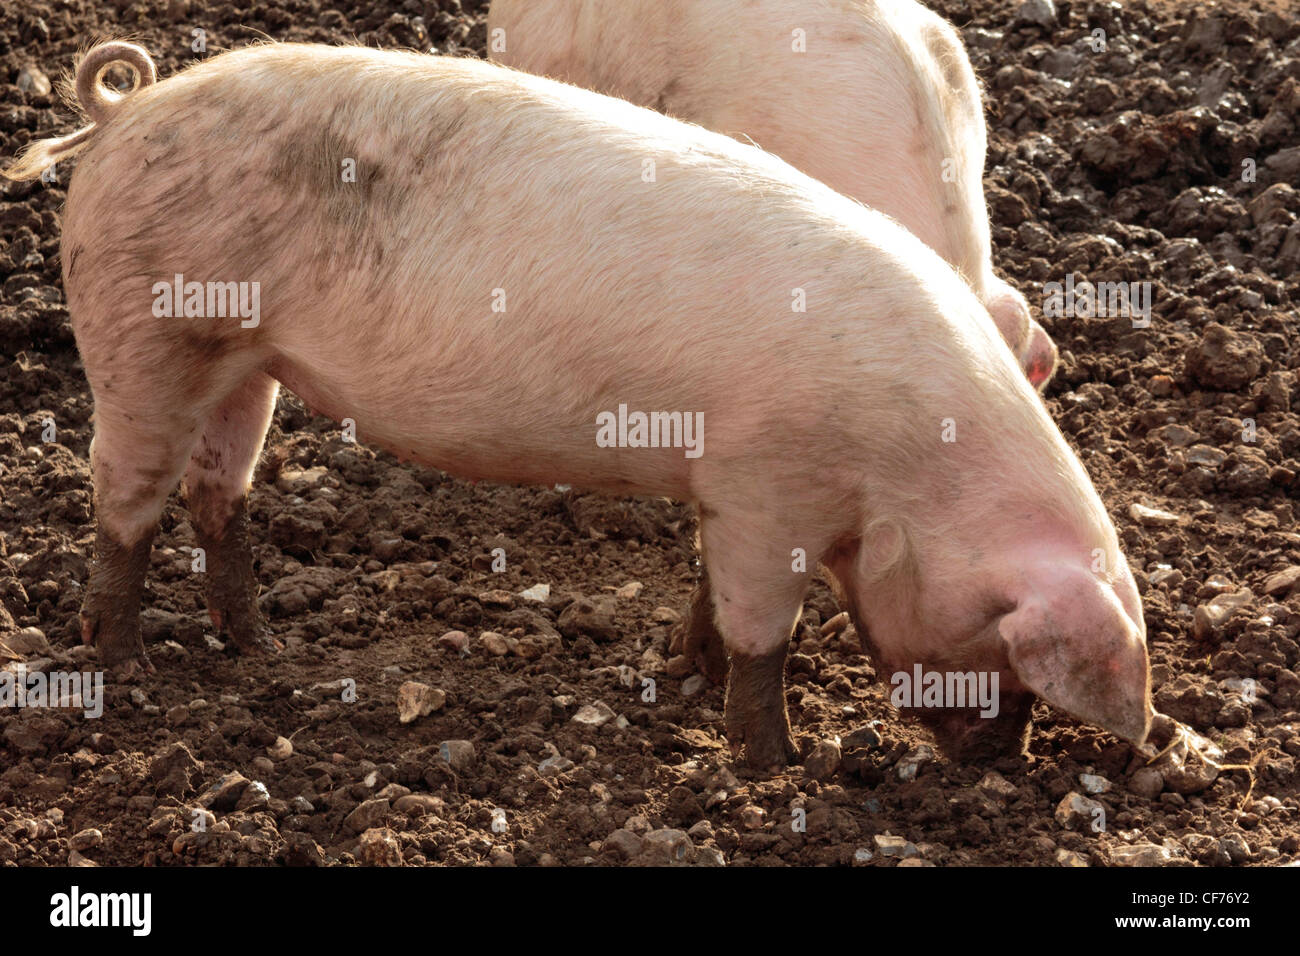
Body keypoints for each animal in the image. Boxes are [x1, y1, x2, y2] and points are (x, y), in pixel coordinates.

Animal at [2, 42, 1149, 770]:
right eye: (1000, 636)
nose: (996, 766)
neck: (905, 470)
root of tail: (124, 110)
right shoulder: (769, 485)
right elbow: (763, 633)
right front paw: (778, 763)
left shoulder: (727, 487)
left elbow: (712, 593)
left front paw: (684, 669)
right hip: (146, 330)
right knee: (125, 492)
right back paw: (125, 662)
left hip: (247, 355)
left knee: (219, 487)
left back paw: (258, 648)